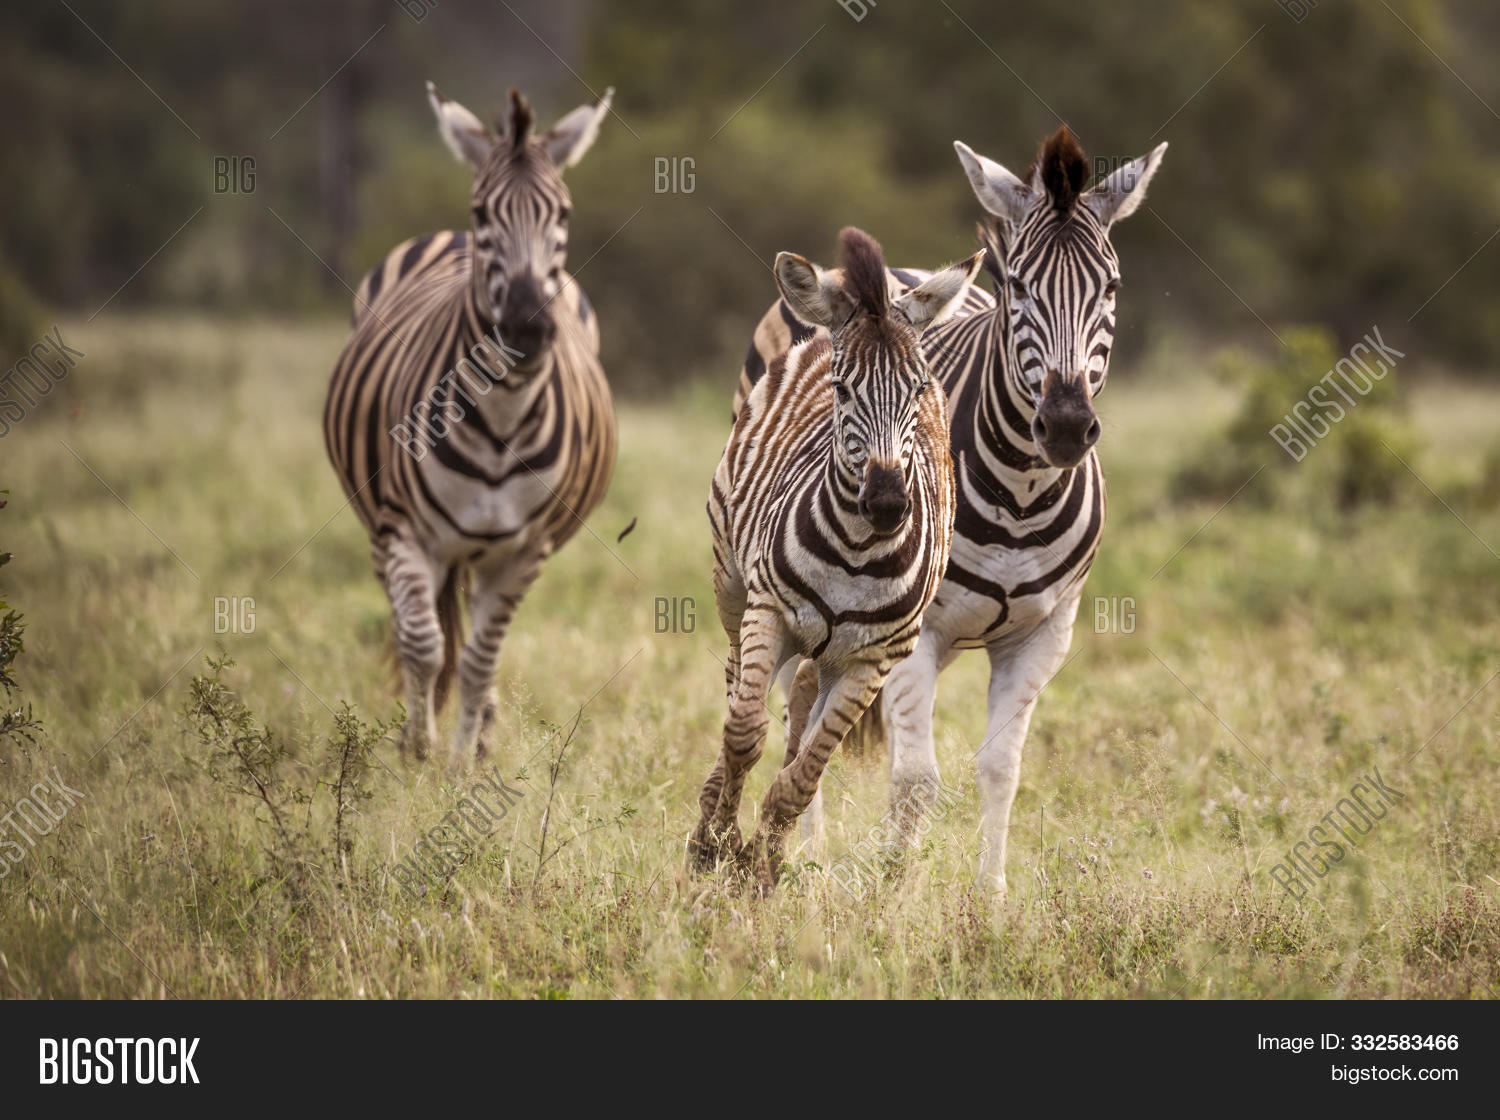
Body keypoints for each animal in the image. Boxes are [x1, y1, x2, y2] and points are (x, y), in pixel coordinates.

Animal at [323, 81, 616, 772]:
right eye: (484, 212)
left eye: (563, 215)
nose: (528, 329)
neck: (501, 421)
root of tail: (444, 237)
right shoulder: (403, 530)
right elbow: (423, 643)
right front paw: (418, 750)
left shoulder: (523, 552)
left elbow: (482, 658)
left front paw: (460, 764)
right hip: (388, 533)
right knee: (417, 623)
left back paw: (478, 731)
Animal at [690, 226, 984, 889]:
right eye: (843, 390)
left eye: (919, 390)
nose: (888, 504)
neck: (856, 551)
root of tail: (820, 330)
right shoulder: (769, 610)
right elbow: (743, 731)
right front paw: (719, 844)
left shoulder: (875, 659)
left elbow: (803, 776)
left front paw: (762, 864)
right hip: (733, 590)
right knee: (737, 692)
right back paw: (706, 824)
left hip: (830, 654)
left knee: (800, 701)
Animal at [731, 127, 1166, 896]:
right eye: (1017, 285)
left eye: (1111, 287)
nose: (1064, 426)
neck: (1022, 494)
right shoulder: (917, 631)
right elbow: (915, 779)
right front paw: (891, 890)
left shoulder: (1044, 636)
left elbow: (1001, 768)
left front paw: (989, 900)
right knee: (791, 705)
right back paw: (808, 855)